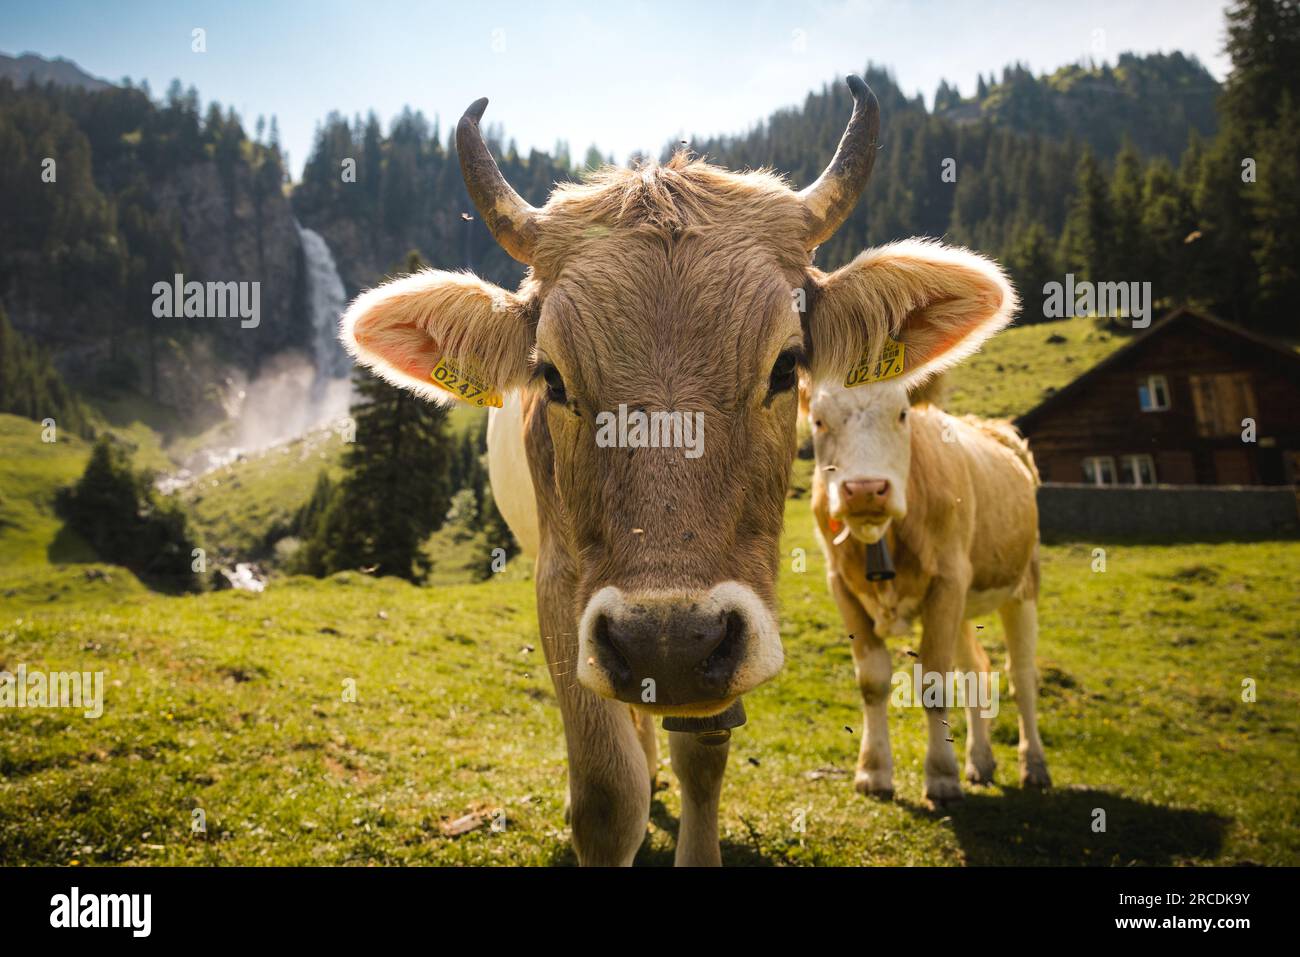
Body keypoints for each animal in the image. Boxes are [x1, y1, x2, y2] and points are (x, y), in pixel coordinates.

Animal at [340, 76, 1020, 864]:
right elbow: (607, 794)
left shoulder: (738, 608)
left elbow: (704, 757)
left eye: (787, 365)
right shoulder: (561, 581)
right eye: (551, 376)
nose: (661, 643)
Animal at [806, 353, 1051, 808]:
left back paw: (1035, 766)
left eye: (902, 414)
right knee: (977, 670)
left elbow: (935, 682)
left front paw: (941, 777)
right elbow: (873, 681)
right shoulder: (842, 586)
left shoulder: (947, 580)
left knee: (1021, 676)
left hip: (1021, 585)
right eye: (818, 421)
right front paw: (873, 772)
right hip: (963, 605)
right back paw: (981, 762)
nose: (864, 489)